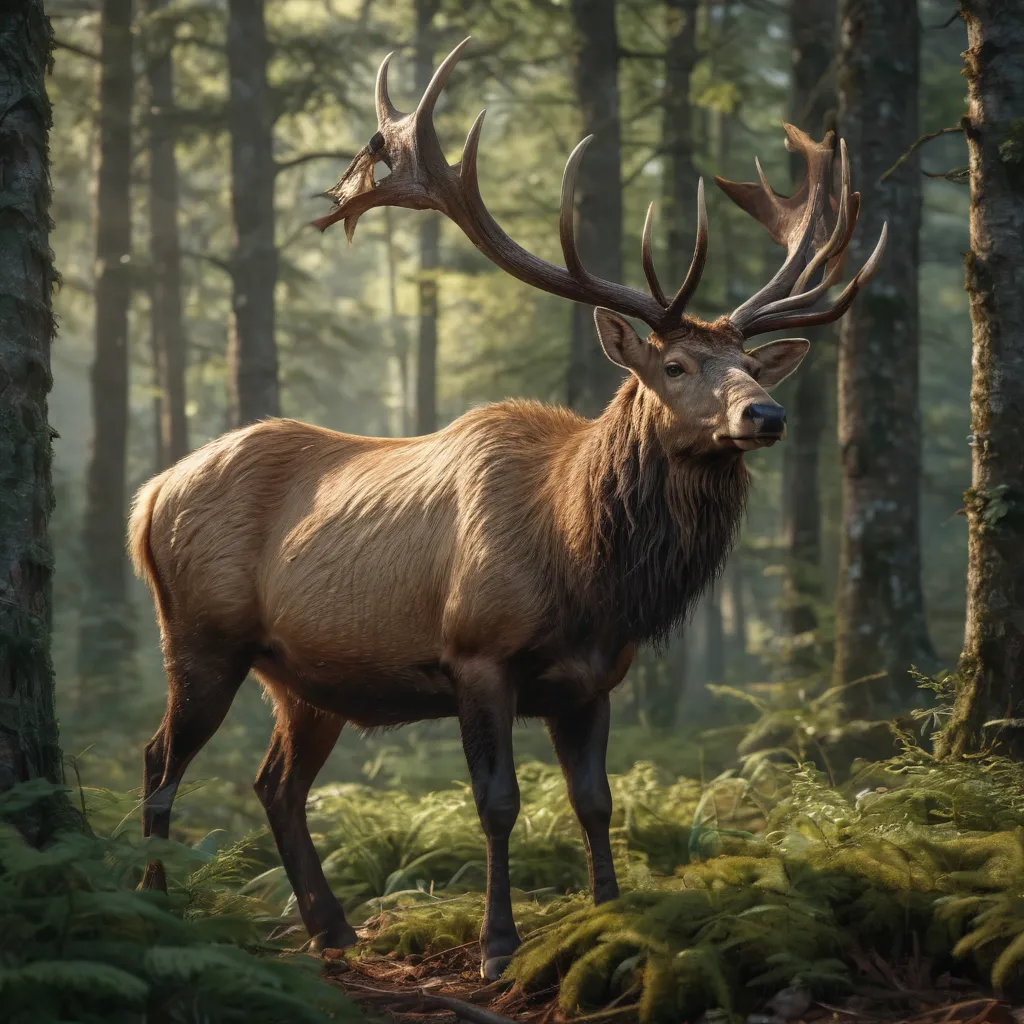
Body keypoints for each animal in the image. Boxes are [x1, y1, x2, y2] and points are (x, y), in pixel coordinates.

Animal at [130, 38, 885, 980]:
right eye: (675, 366)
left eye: (749, 365)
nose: (767, 414)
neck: (585, 569)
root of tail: (147, 497)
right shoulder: (476, 654)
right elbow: (497, 801)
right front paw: (498, 944)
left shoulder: (592, 678)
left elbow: (596, 800)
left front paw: (609, 916)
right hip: (201, 636)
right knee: (159, 759)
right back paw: (158, 906)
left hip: (302, 675)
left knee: (275, 783)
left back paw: (333, 928)